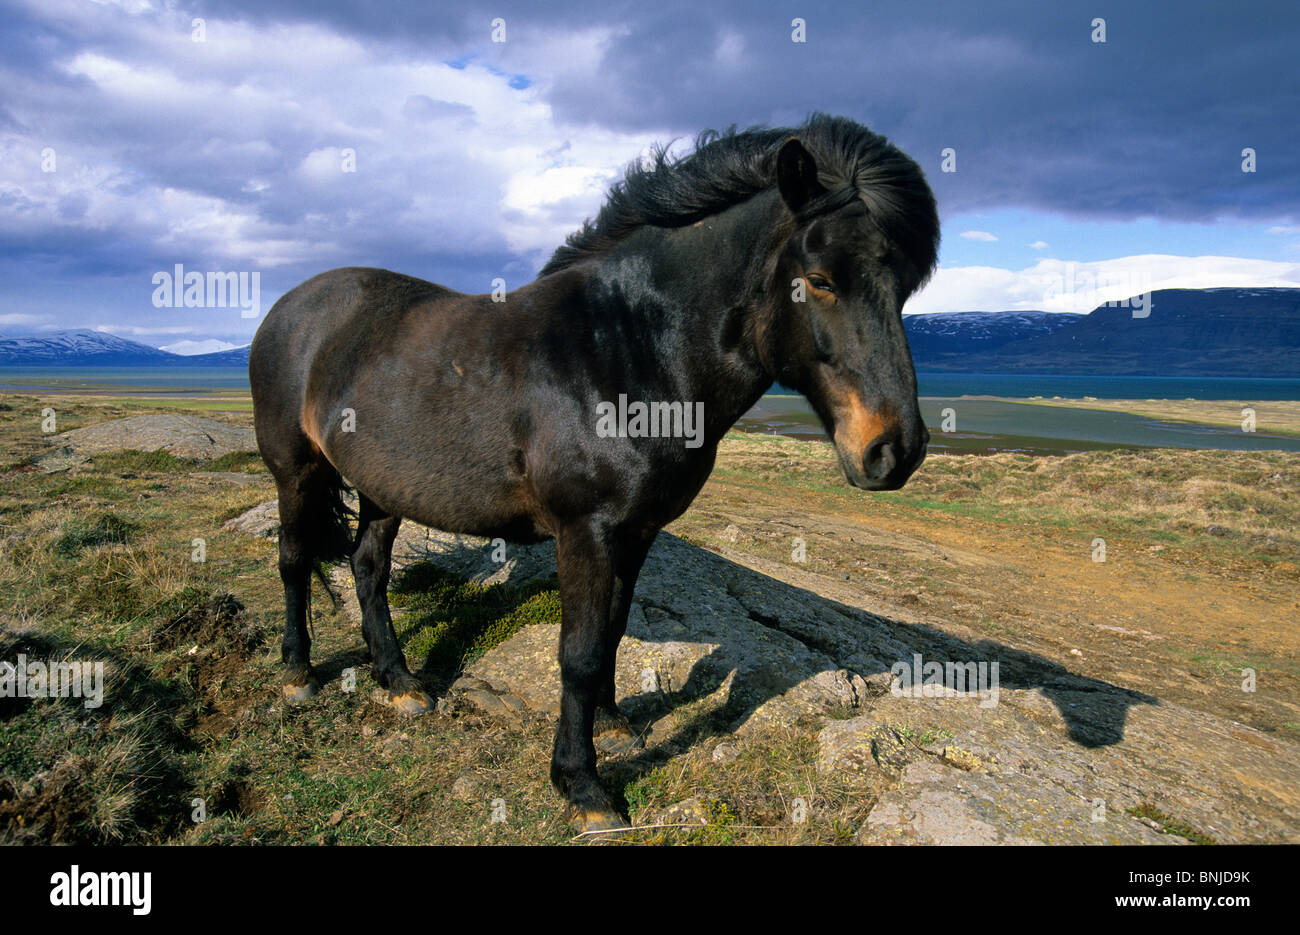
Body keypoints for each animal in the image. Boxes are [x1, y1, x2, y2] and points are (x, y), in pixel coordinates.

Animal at [249, 113, 940, 833]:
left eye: (905, 286)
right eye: (821, 278)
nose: (896, 450)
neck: (624, 350)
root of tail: (292, 305)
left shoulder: (637, 531)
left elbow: (610, 630)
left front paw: (610, 726)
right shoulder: (588, 530)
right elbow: (578, 652)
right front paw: (581, 785)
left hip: (385, 485)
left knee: (367, 568)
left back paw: (400, 681)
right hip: (294, 472)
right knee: (295, 560)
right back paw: (298, 674)